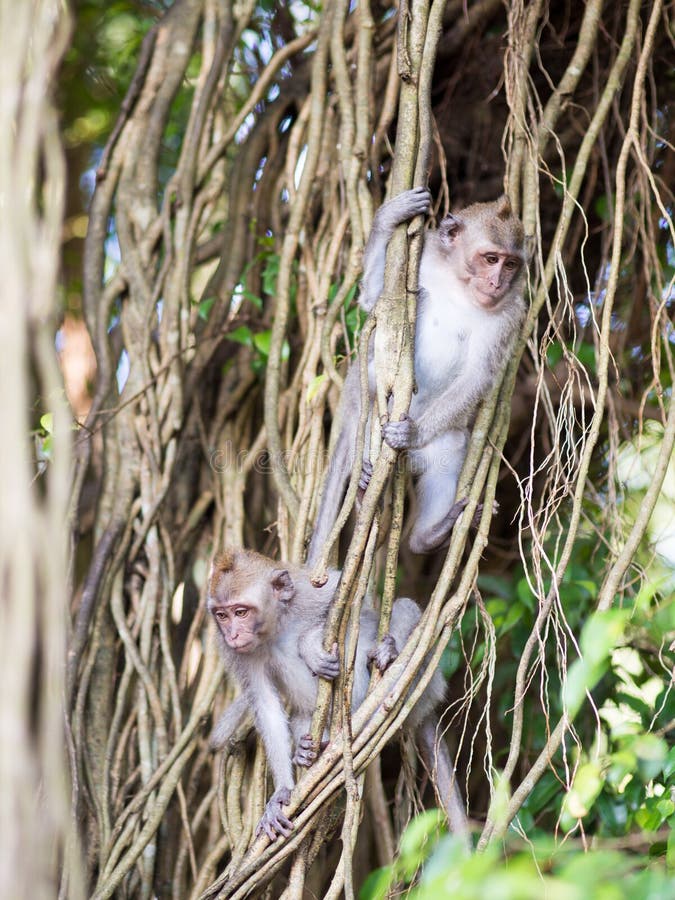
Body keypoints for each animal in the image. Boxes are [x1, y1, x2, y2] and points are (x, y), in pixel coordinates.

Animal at [206, 548, 469, 844]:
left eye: (240, 612)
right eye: (222, 615)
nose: (232, 635)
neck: (276, 627)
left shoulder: (312, 592)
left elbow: (357, 599)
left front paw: (309, 644)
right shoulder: (240, 656)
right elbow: (267, 706)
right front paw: (281, 793)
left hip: (429, 681)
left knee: (404, 609)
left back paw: (389, 663)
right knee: (302, 718)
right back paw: (310, 750)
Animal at [307, 187, 529, 564]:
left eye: (510, 264)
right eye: (490, 259)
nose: (497, 282)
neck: (458, 284)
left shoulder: (511, 314)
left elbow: (478, 375)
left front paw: (411, 433)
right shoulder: (422, 258)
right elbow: (374, 301)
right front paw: (387, 218)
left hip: (434, 441)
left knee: (449, 448)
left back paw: (429, 535)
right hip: (361, 413)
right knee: (372, 381)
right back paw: (364, 485)